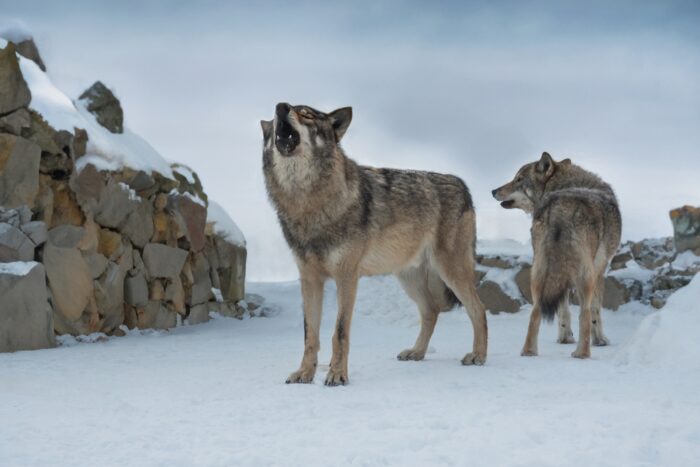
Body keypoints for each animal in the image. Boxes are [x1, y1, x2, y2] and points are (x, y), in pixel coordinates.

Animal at [261, 102, 488, 385]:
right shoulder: (309, 280)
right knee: (431, 311)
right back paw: (417, 352)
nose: (281, 107)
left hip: (451, 272)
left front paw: (337, 375)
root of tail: (462, 184)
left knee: (478, 309)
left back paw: (478, 355)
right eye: (275, 116)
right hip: (409, 278)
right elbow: (309, 335)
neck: (306, 201)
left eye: (306, 114)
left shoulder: (347, 277)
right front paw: (305, 373)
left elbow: (339, 332)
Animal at [492, 152, 621, 358]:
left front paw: (565, 338)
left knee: (536, 312)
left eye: (518, 179)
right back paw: (582, 353)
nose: (493, 191)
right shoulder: (600, 271)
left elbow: (562, 311)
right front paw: (600, 340)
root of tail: (561, 208)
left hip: (538, 273)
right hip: (586, 277)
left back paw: (529, 351)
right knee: (584, 313)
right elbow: (595, 311)